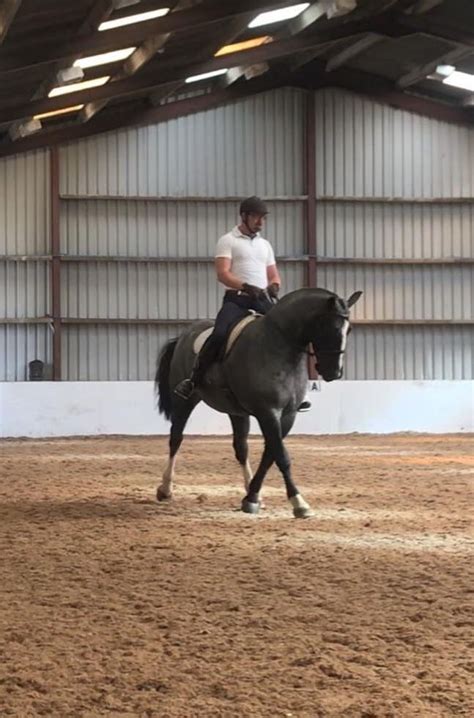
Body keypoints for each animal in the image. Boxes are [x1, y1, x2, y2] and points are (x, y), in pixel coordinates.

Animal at [154, 287, 362, 518]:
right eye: (329, 327)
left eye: (349, 330)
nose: (333, 372)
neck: (280, 345)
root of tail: (185, 334)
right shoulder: (268, 412)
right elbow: (281, 456)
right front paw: (299, 502)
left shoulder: (288, 415)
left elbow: (270, 454)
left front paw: (252, 497)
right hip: (186, 401)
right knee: (176, 438)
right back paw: (165, 489)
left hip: (236, 411)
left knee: (241, 448)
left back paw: (248, 488)